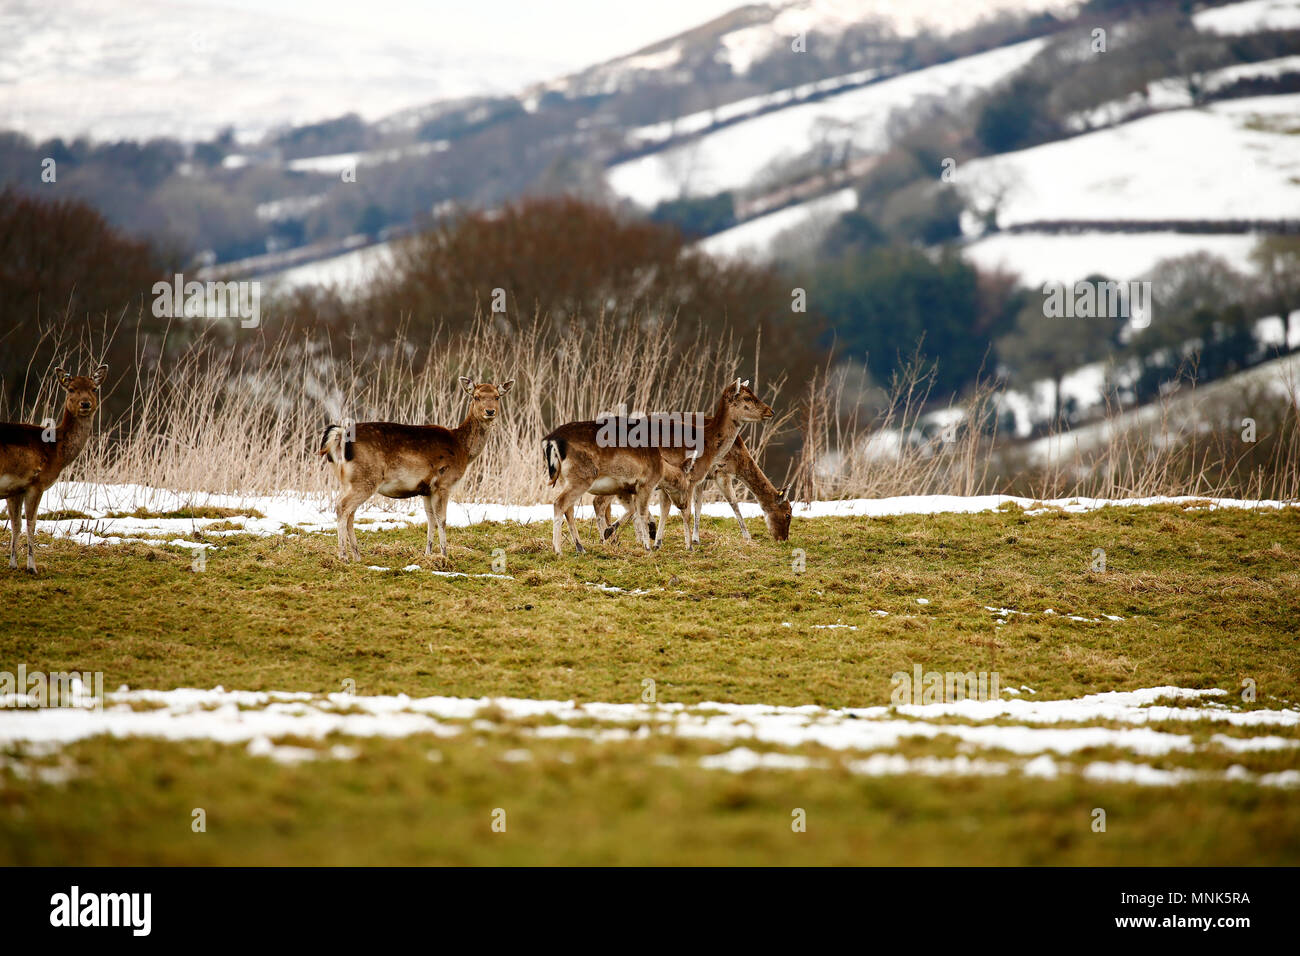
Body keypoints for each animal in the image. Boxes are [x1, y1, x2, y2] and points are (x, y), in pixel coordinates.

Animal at [1, 364, 108, 574]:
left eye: (94, 388)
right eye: (71, 389)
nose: (85, 404)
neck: (55, 450)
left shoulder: (15, 488)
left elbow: (16, 524)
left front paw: (13, 564)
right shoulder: (37, 483)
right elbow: (31, 523)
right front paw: (32, 567)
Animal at [318, 377, 512, 561]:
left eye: (497, 396)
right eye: (476, 396)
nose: (490, 411)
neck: (463, 450)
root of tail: (340, 436)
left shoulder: (426, 489)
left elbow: (430, 519)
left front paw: (428, 554)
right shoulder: (443, 483)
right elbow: (442, 520)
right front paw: (444, 555)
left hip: (349, 481)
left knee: (350, 512)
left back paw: (357, 556)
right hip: (366, 478)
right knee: (342, 507)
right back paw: (343, 556)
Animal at [595, 434, 793, 544]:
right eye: (788, 514)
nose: (783, 539)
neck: (738, 462)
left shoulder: (703, 479)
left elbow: (698, 505)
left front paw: (695, 538)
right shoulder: (720, 473)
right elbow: (733, 503)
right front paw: (747, 537)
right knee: (600, 501)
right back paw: (608, 537)